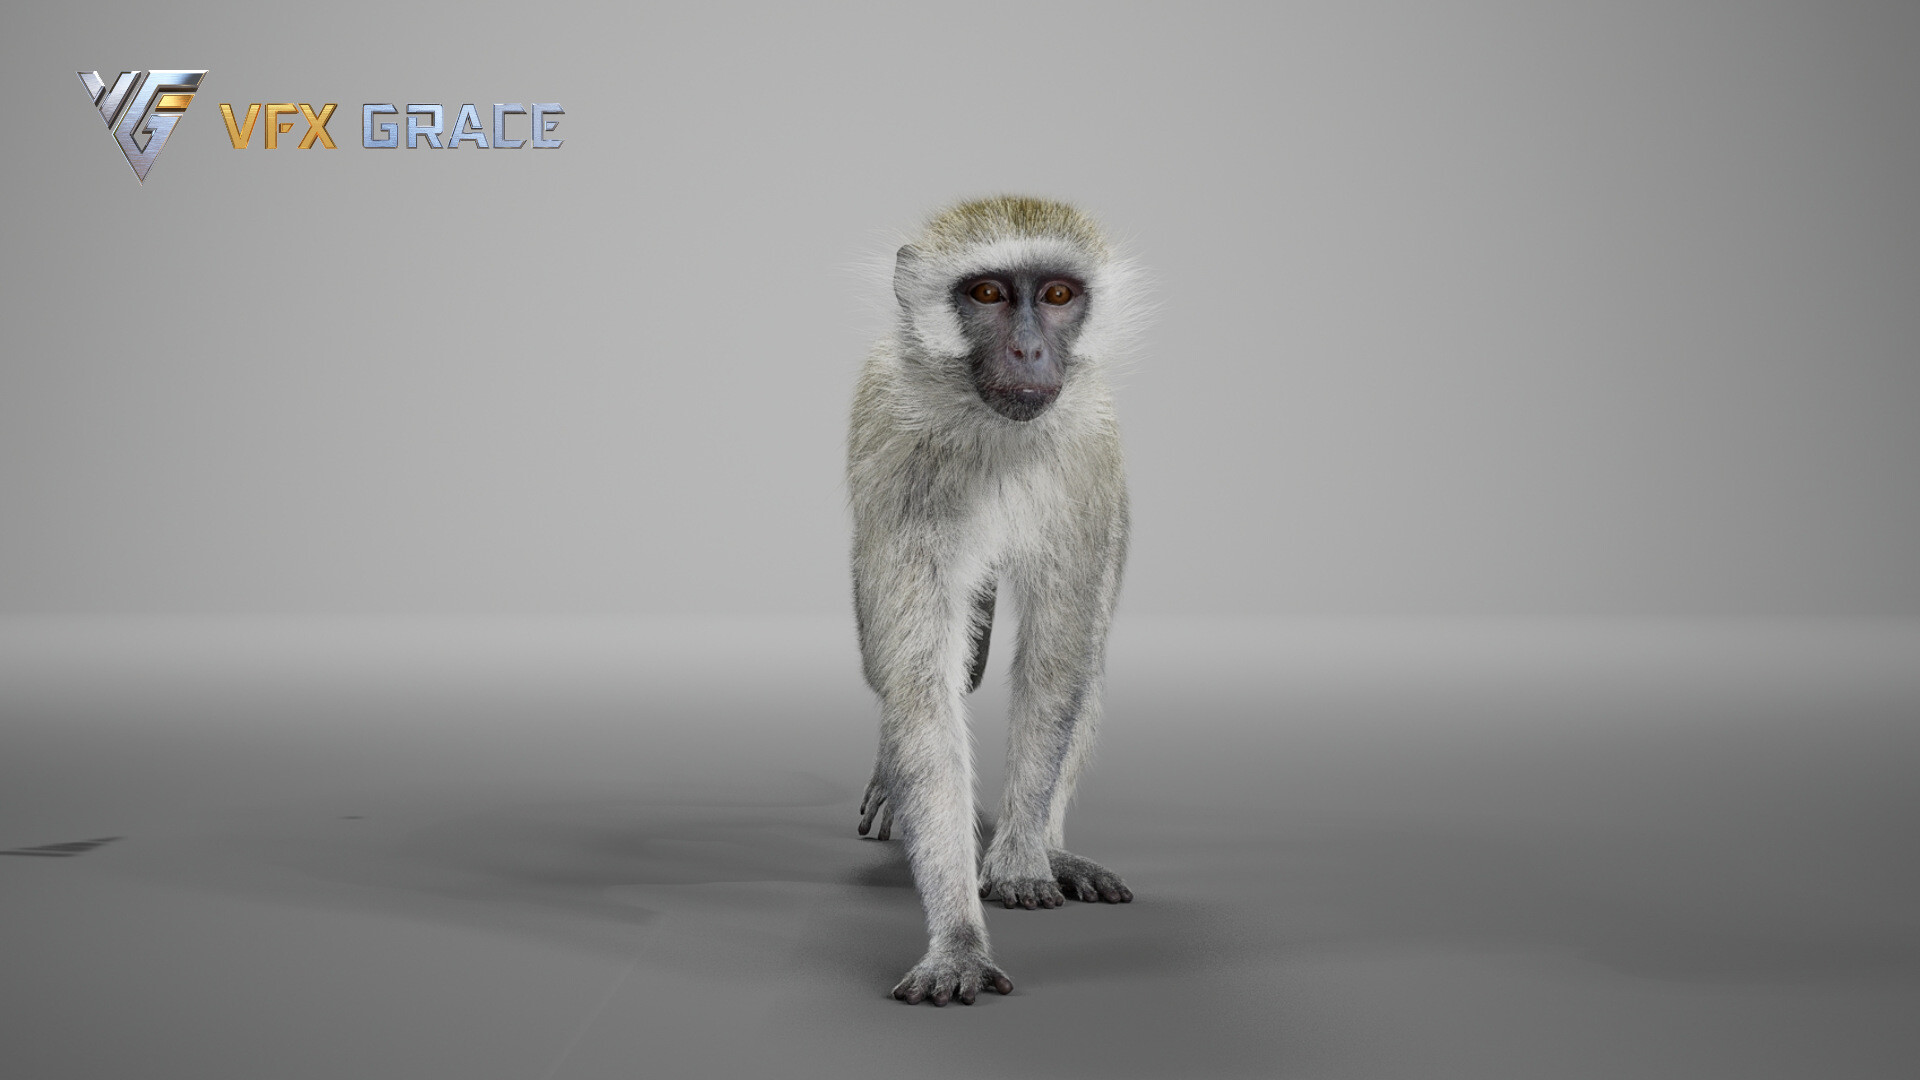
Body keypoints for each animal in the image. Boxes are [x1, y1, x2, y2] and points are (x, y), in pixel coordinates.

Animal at [849, 196, 1140, 1006]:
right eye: (987, 294)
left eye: (1058, 294)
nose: (1029, 352)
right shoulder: (895, 451)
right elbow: (919, 688)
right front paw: (957, 937)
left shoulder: (1089, 452)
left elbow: (1059, 662)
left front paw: (1019, 860)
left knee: (1090, 641)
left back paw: (1050, 850)